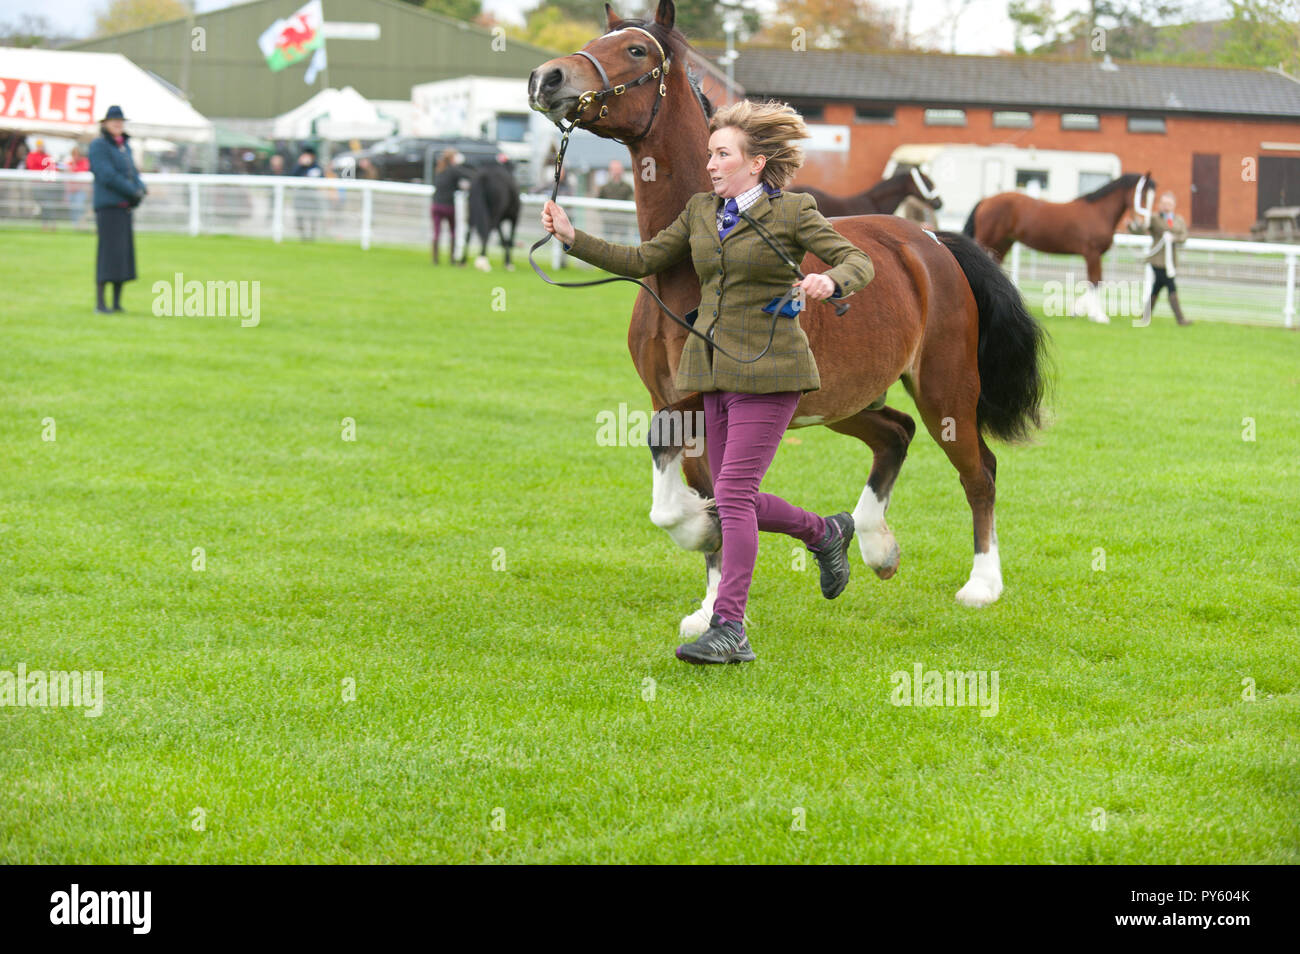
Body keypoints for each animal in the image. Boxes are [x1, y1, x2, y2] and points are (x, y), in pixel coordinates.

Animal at [964, 173, 1155, 323]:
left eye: (1152, 196)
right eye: (1142, 194)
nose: (1142, 224)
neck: (1099, 212)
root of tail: (986, 200)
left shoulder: (1093, 255)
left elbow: (1095, 281)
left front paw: (1078, 310)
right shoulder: (1092, 253)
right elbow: (1096, 281)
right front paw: (1096, 315)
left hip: (1003, 243)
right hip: (988, 240)